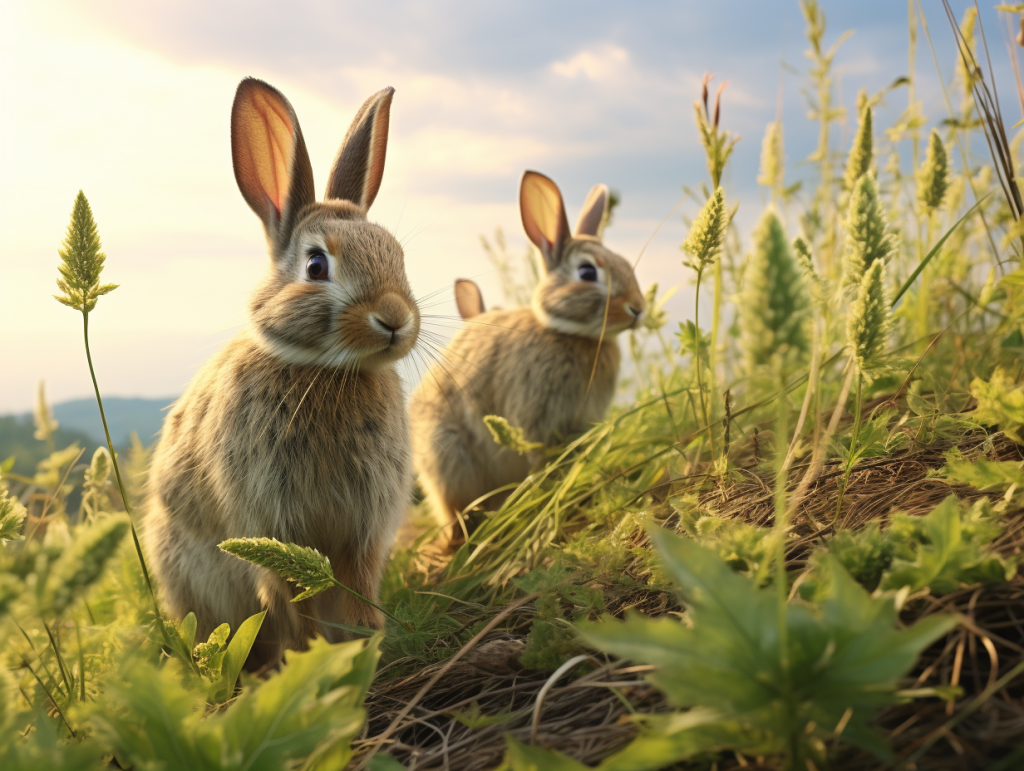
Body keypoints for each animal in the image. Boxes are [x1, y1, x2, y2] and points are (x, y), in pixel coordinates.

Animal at [144, 77, 420, 670]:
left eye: (398, 256)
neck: (327, 370)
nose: (394, 318)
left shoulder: (363, 527)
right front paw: (312, 656)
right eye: (316, 266)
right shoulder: (273, 524)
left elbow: (357, 583)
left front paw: (363, 643)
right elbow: (292, 596)